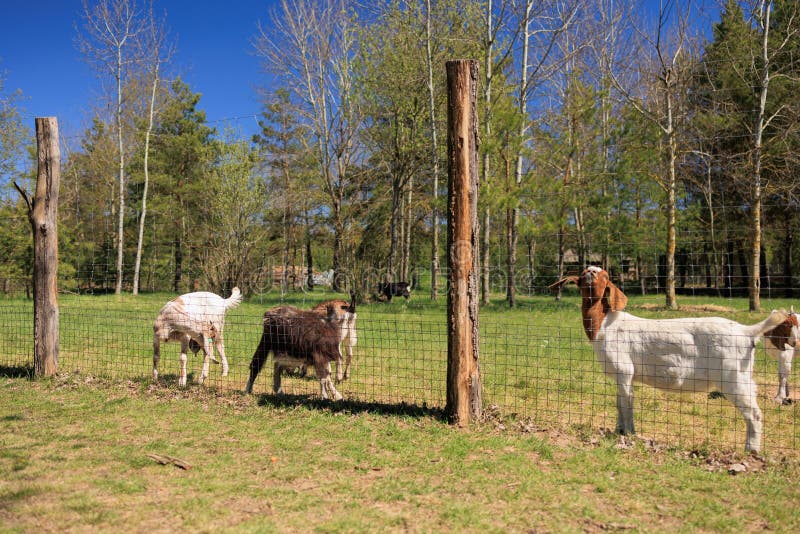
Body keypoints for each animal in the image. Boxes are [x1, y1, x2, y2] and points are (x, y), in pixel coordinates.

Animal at [550, 266, 788, 452]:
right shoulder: (621, 376)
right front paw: (618, 430)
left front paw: (628, 433)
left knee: (754, 413)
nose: (591, 272)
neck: (605, 324)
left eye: (605, 275)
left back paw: (751, 450)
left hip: (732, 376)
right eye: (584, 271)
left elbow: (626, 402)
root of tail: (747, 331)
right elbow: (619, 402)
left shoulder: (624, 370)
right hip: (744, 374)